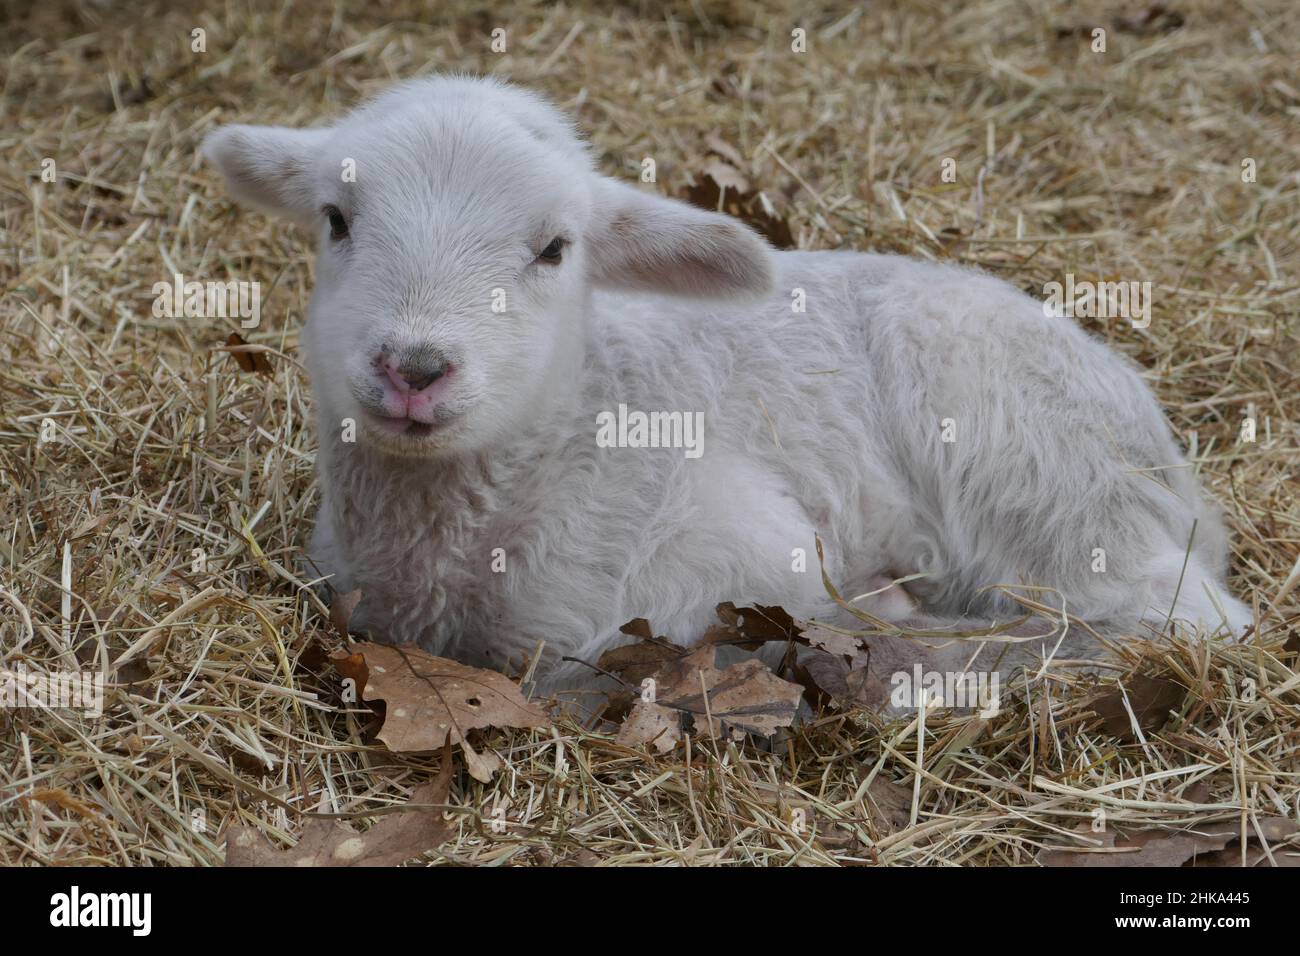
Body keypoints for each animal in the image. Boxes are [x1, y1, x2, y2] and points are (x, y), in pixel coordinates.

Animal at [203, 74, 1252, 700]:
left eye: (555, 248)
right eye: (336, 219)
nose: (414, 368)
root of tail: (1174, 470)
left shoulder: (738, 555)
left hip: (1042, 473)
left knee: (1171, 619)